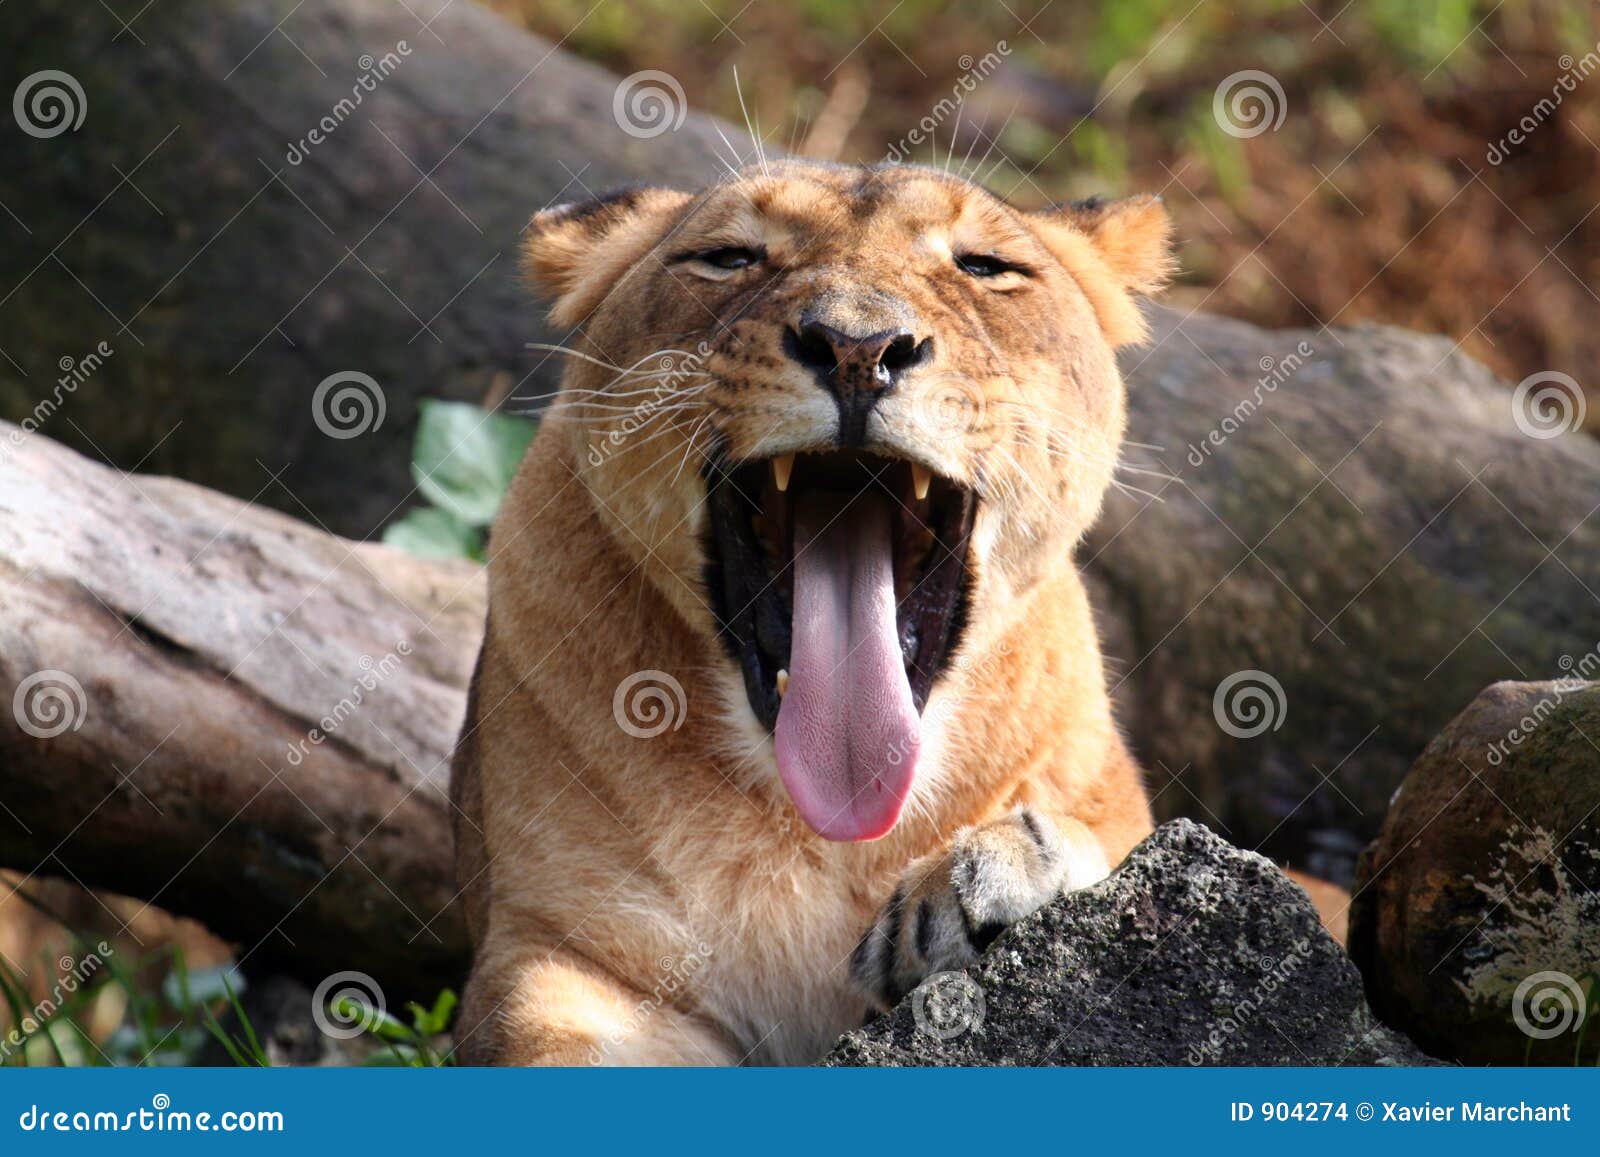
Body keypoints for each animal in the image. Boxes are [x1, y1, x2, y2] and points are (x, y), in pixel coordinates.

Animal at [451, 159, 1186, 1065]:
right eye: (729, 256)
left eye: (984, 266)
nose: (859, 350)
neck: (829, 829)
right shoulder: (563, 951)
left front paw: (994, 873)